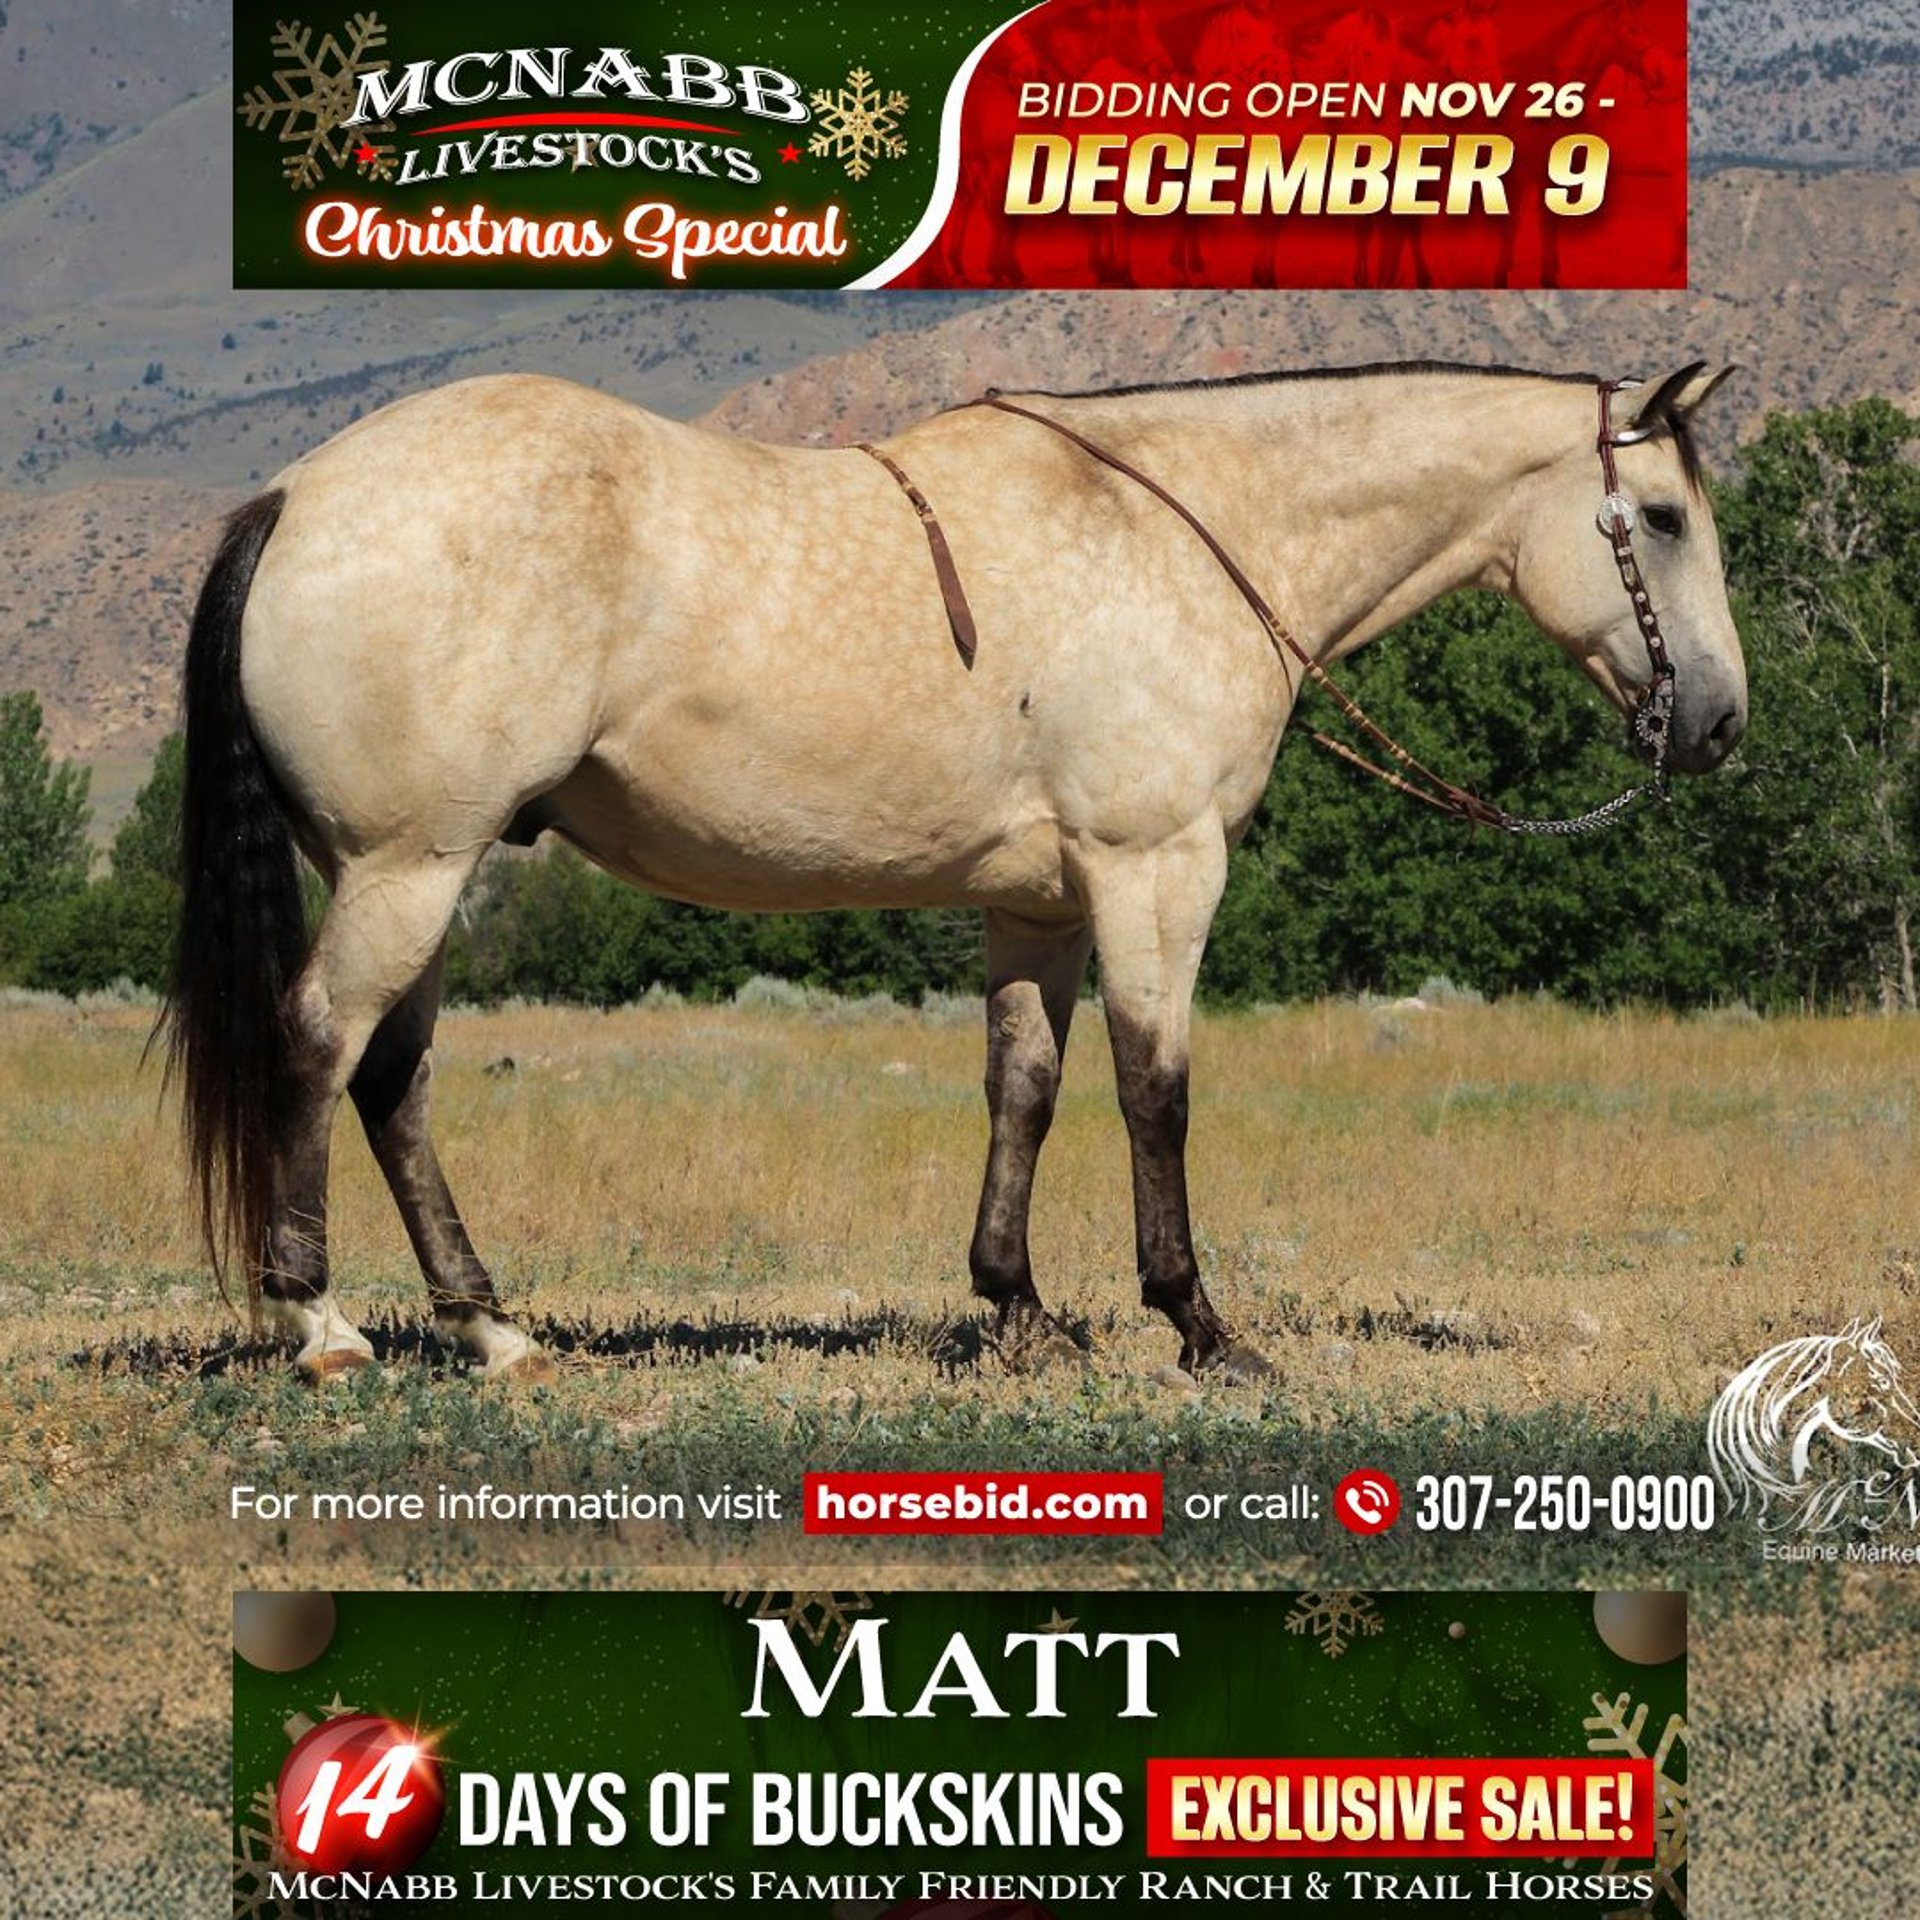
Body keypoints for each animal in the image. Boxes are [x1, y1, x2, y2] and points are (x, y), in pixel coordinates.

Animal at [166, 357, 1746, 1384]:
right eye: (1664, 518)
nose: (1722, 723)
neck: (1183, 527)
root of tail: (295, 494)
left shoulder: (1036, 905)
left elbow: (1026, 1091)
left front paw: (1019, 1312)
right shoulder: (1154, 873)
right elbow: (1156, 1091)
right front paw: (1199, 1327)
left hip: (414, 878)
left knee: (392, 1082)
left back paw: (493, 1328)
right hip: (405, 869)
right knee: (321, 1046)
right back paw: (321, 1326)